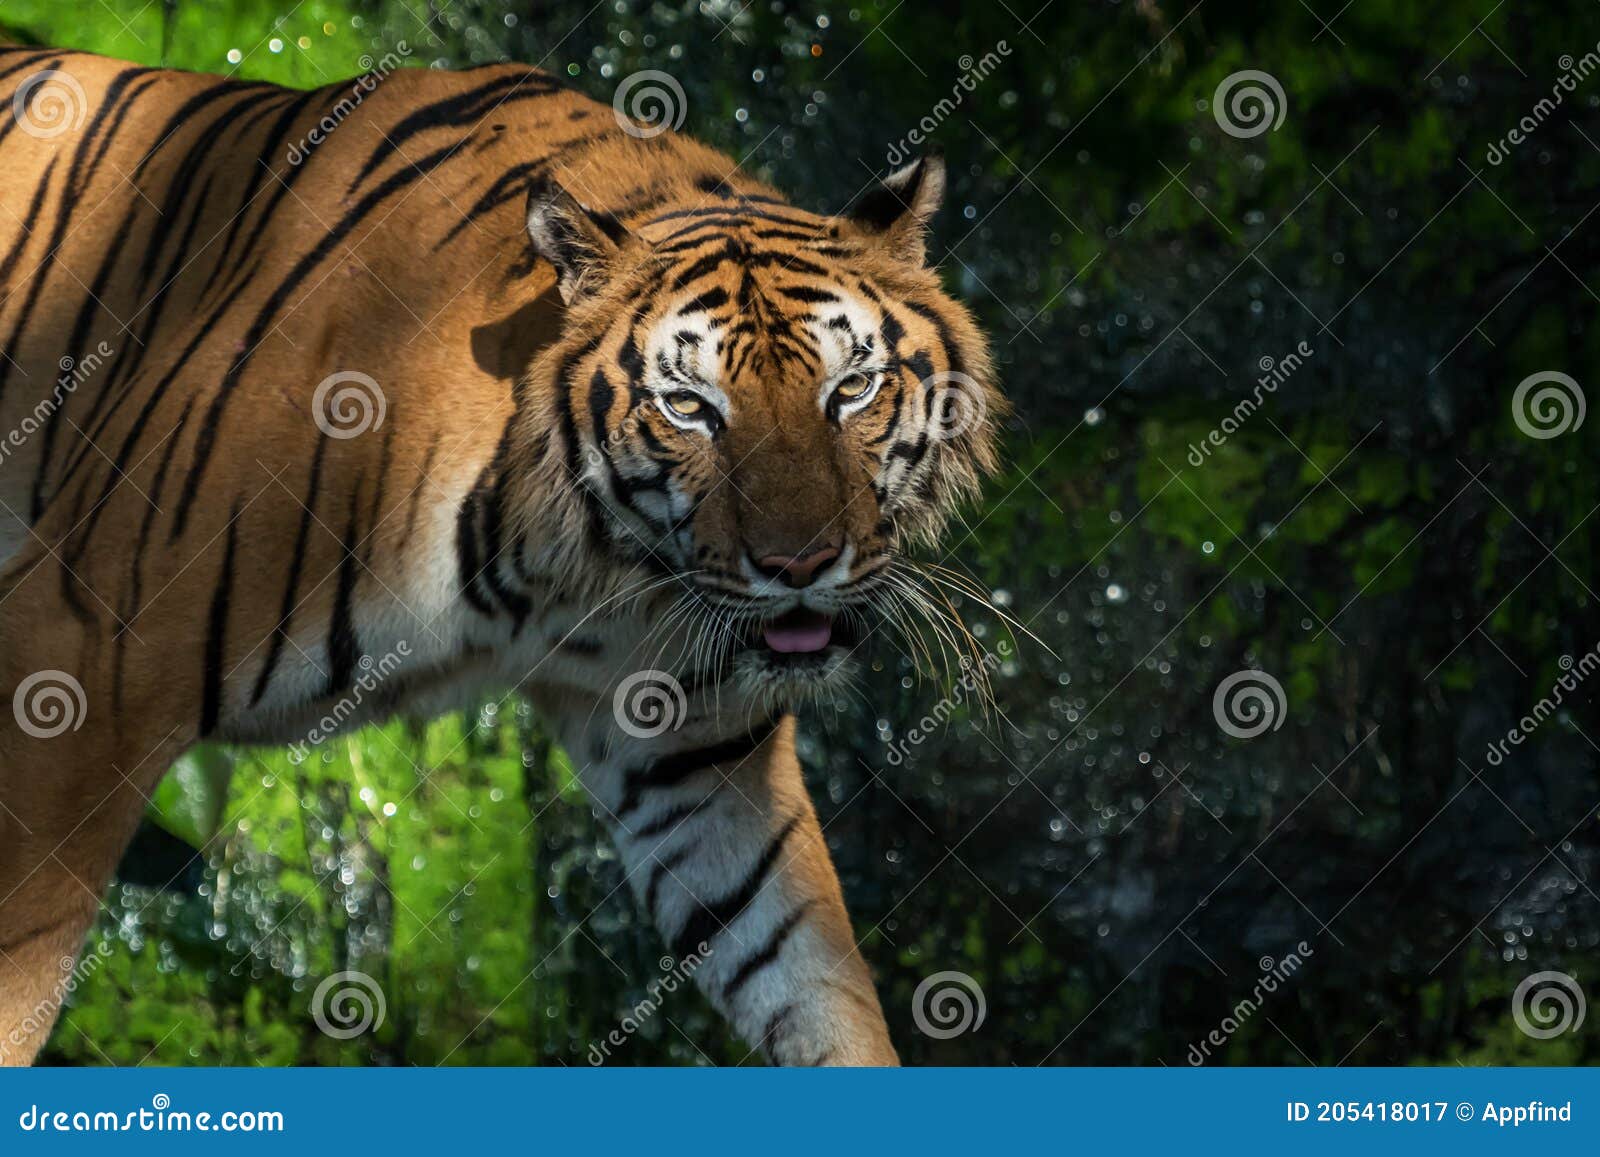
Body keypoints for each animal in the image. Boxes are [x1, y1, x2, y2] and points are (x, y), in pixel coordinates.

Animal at [0, 43, 1000, 1067]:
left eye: (853, 389)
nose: (799, 565)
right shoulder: (78, 655)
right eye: (690, 406)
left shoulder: (697, 757)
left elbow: (811, 972)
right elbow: (20, 979)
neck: (594, 572)